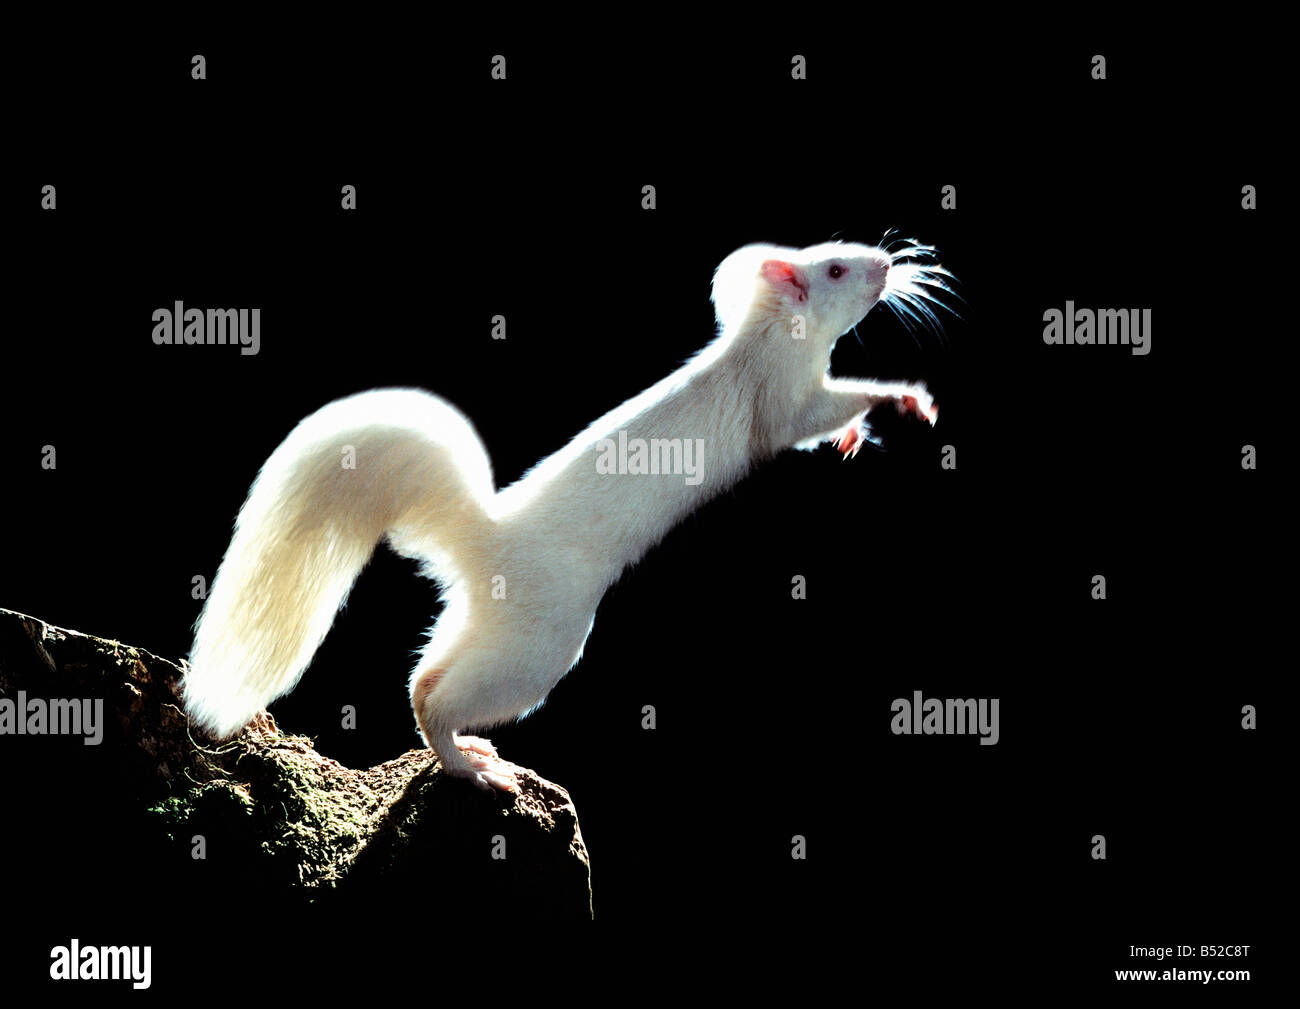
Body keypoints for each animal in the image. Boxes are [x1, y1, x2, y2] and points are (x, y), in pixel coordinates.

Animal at [183, 239, 954, 792]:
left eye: (841, 247)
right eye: (835, 266)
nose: (889, 262)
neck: (771, 335)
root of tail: (484, 546)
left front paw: (856, 435)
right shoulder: (783, 398)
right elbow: (821, 409)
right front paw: (904, 400)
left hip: (483, 623)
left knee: (423, 679)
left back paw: (465, 748)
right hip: (540, 646)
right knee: (438, 697)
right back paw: (472, 768)